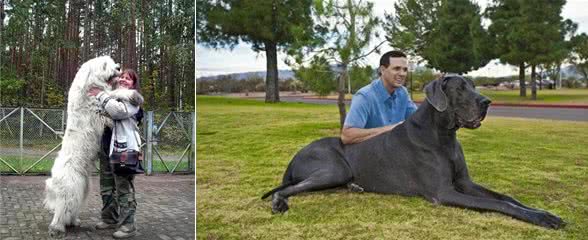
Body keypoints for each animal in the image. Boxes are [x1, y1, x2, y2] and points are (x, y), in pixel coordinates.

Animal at [43, 56, 142, 238]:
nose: (118, 67)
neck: (89, 85)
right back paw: (57, 228)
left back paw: (72, 222)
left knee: (71, 207)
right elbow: (113, 94)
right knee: (61, 208)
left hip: (82, 188)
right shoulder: (98, 105)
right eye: (104, 65)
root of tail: (54, 179)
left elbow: (112, 93)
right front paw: (133, 95)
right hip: (71, 188)